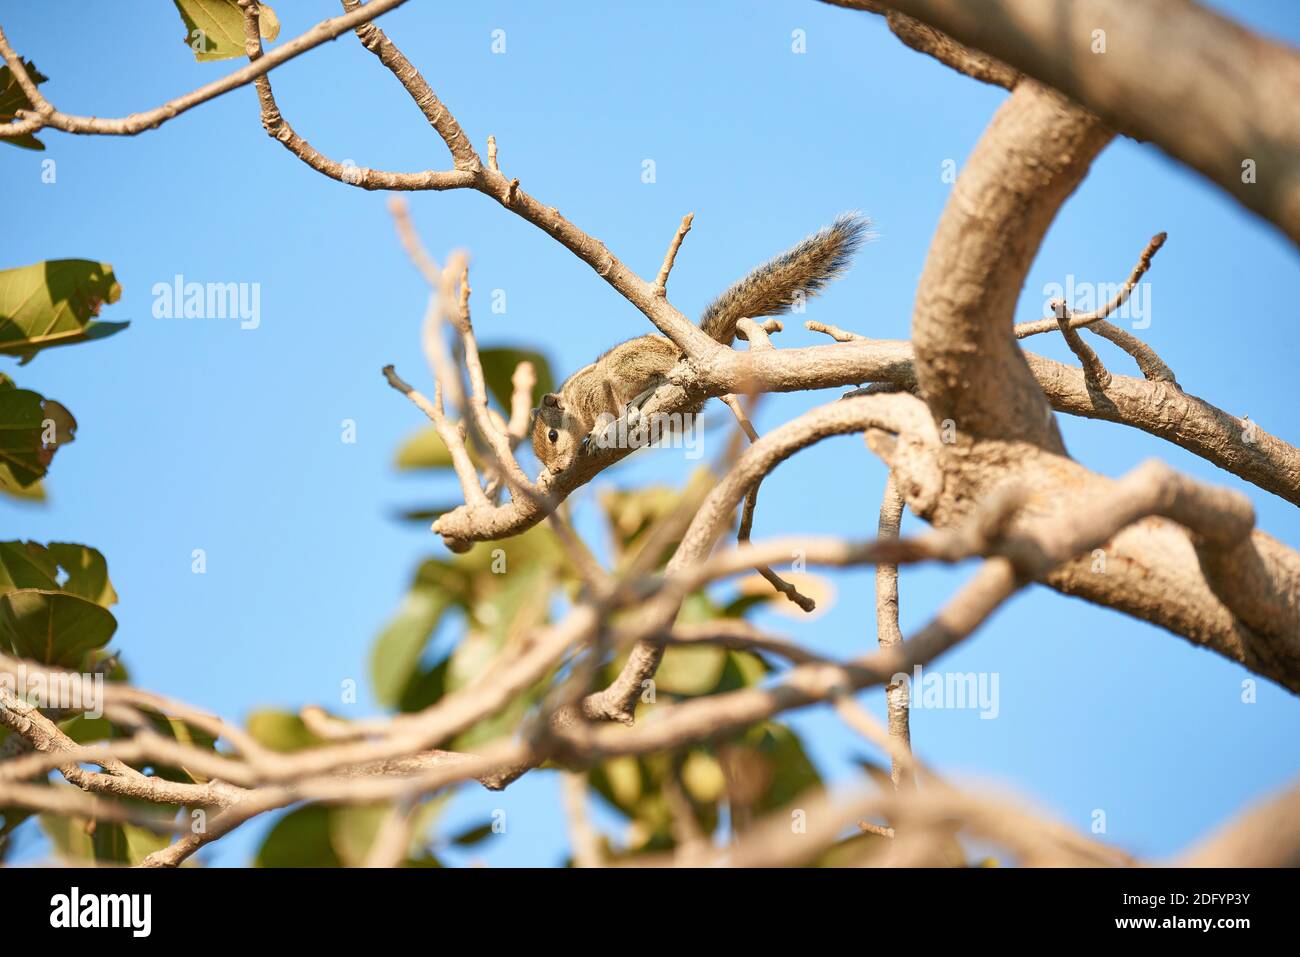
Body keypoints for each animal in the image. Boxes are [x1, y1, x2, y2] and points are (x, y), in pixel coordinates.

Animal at [531, 213, 870, 475]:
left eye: (552, 435)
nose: (555, 471)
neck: (574, 405)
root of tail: (685, 356)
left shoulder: (595, 390)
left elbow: (603, 410)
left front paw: (599, 431)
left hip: (628, 366)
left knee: (660, 378)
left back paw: (638, 402)